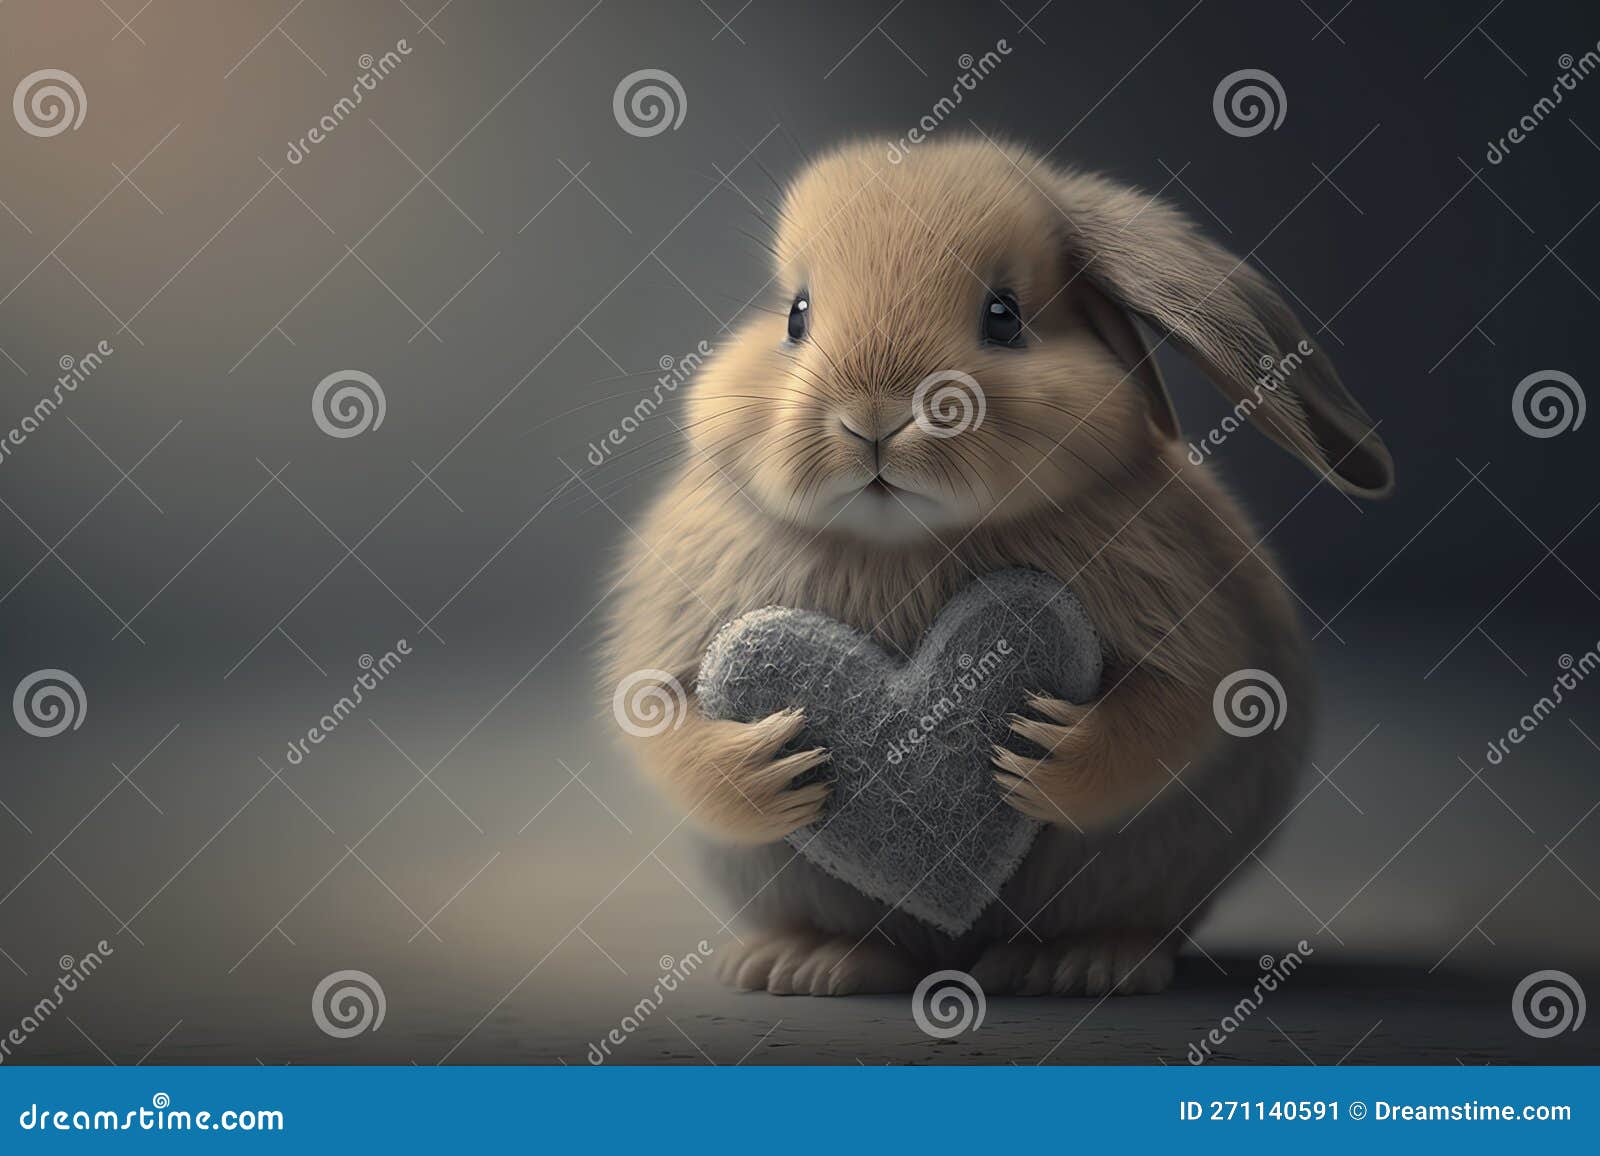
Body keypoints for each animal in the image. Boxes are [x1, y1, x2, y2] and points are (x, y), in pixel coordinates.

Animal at [601, 137, 1393, 998]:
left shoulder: (1192, 623)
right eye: (796, 316)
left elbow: (1175, 711)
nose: (873, 415)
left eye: (1005, 316)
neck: (906, 542)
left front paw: (1039, 751)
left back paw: (1074, 964)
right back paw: (807, 963)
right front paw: (772, 763)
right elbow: (660, 720)